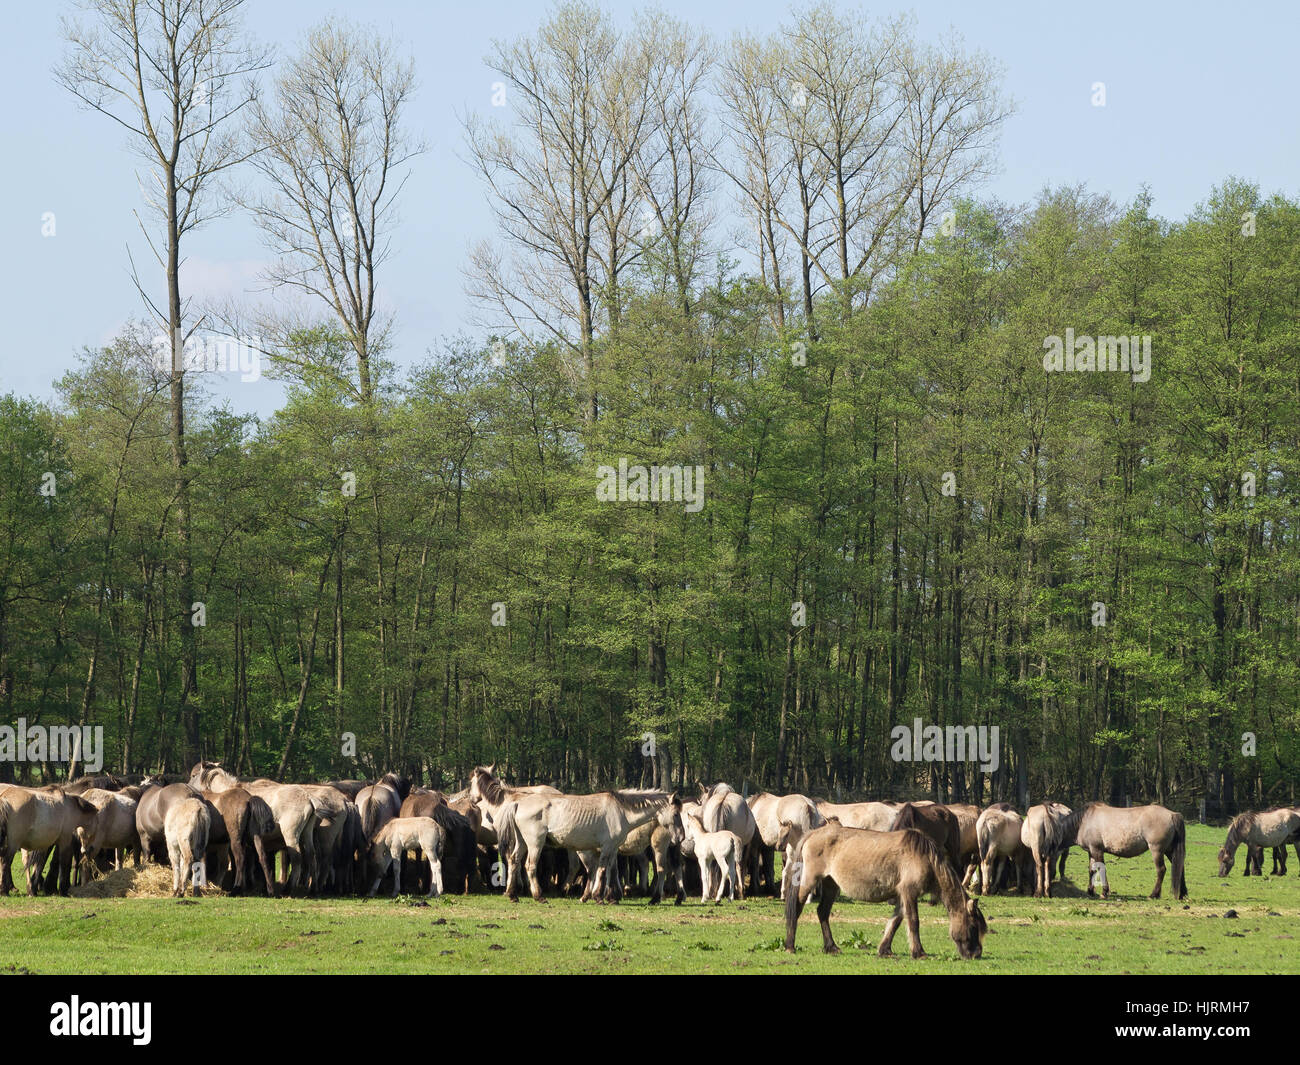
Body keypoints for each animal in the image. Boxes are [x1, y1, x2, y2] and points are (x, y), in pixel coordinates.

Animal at [784, 823, 987, 959]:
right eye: (973, 927)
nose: (976, 954)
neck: (925, 857)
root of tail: (812, 834)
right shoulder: (909, 893)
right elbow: (913, 921)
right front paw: (919, 952)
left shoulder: (901, 896)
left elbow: (895, 922)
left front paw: (884, 950)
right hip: (809, 881)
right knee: (797, 908)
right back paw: (790, 946)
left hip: (830, 885)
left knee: (823, 912)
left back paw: (831, 947)